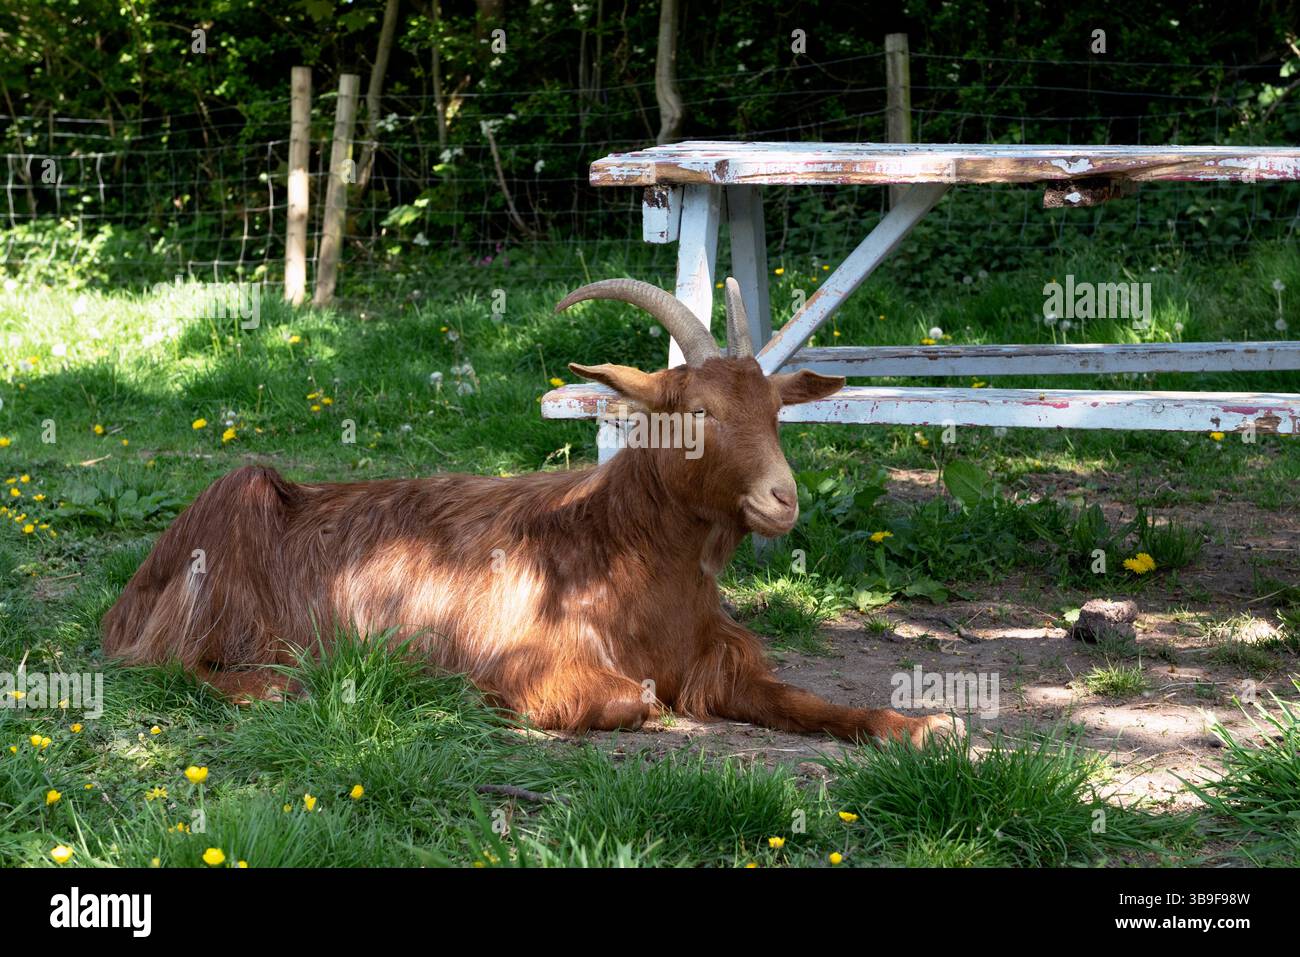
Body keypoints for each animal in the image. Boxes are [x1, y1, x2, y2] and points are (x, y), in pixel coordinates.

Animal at [102, 278, 963, 746]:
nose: (782, 498)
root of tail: (126, 597)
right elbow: (637, 699)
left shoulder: (717, 661)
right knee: (168, 664)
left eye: (778, 412)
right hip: (235, 508)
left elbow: (805, 700)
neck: (618, 548)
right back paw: (281, 684)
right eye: (698, 412)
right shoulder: (526, 656)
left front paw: (922, 727)